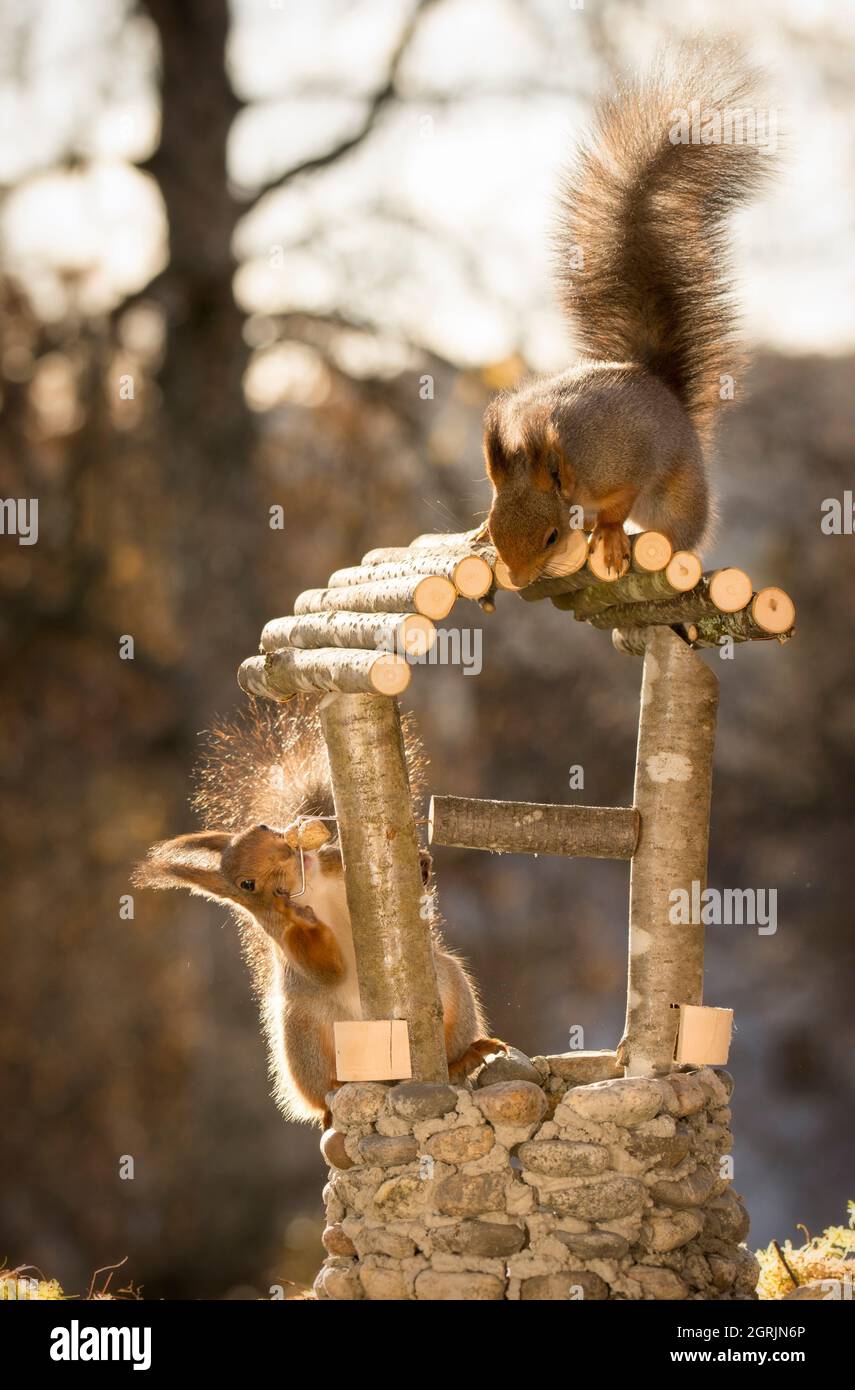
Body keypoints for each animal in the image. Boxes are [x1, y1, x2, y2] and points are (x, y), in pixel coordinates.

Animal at [133, 700, 504, 1127]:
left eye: (263, 827)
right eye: (247, 884)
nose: (288, 851)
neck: (314, 886)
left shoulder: (335, 862)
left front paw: (423, 865)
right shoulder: (281, 937)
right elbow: (327, 968)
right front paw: (302, 921)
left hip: (451, 984)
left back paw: (464, 1058)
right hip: (303, 1029)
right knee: (321, 1094)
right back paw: (336, 1094)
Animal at [484, 45, 774, 587]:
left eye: (551, 536)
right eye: (494, 528)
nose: (518, 579)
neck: (556, 456)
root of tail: (665, 392)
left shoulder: (622, 465)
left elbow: (618, 503)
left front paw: (609, 533)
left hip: (678, 498)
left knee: (679, 530)